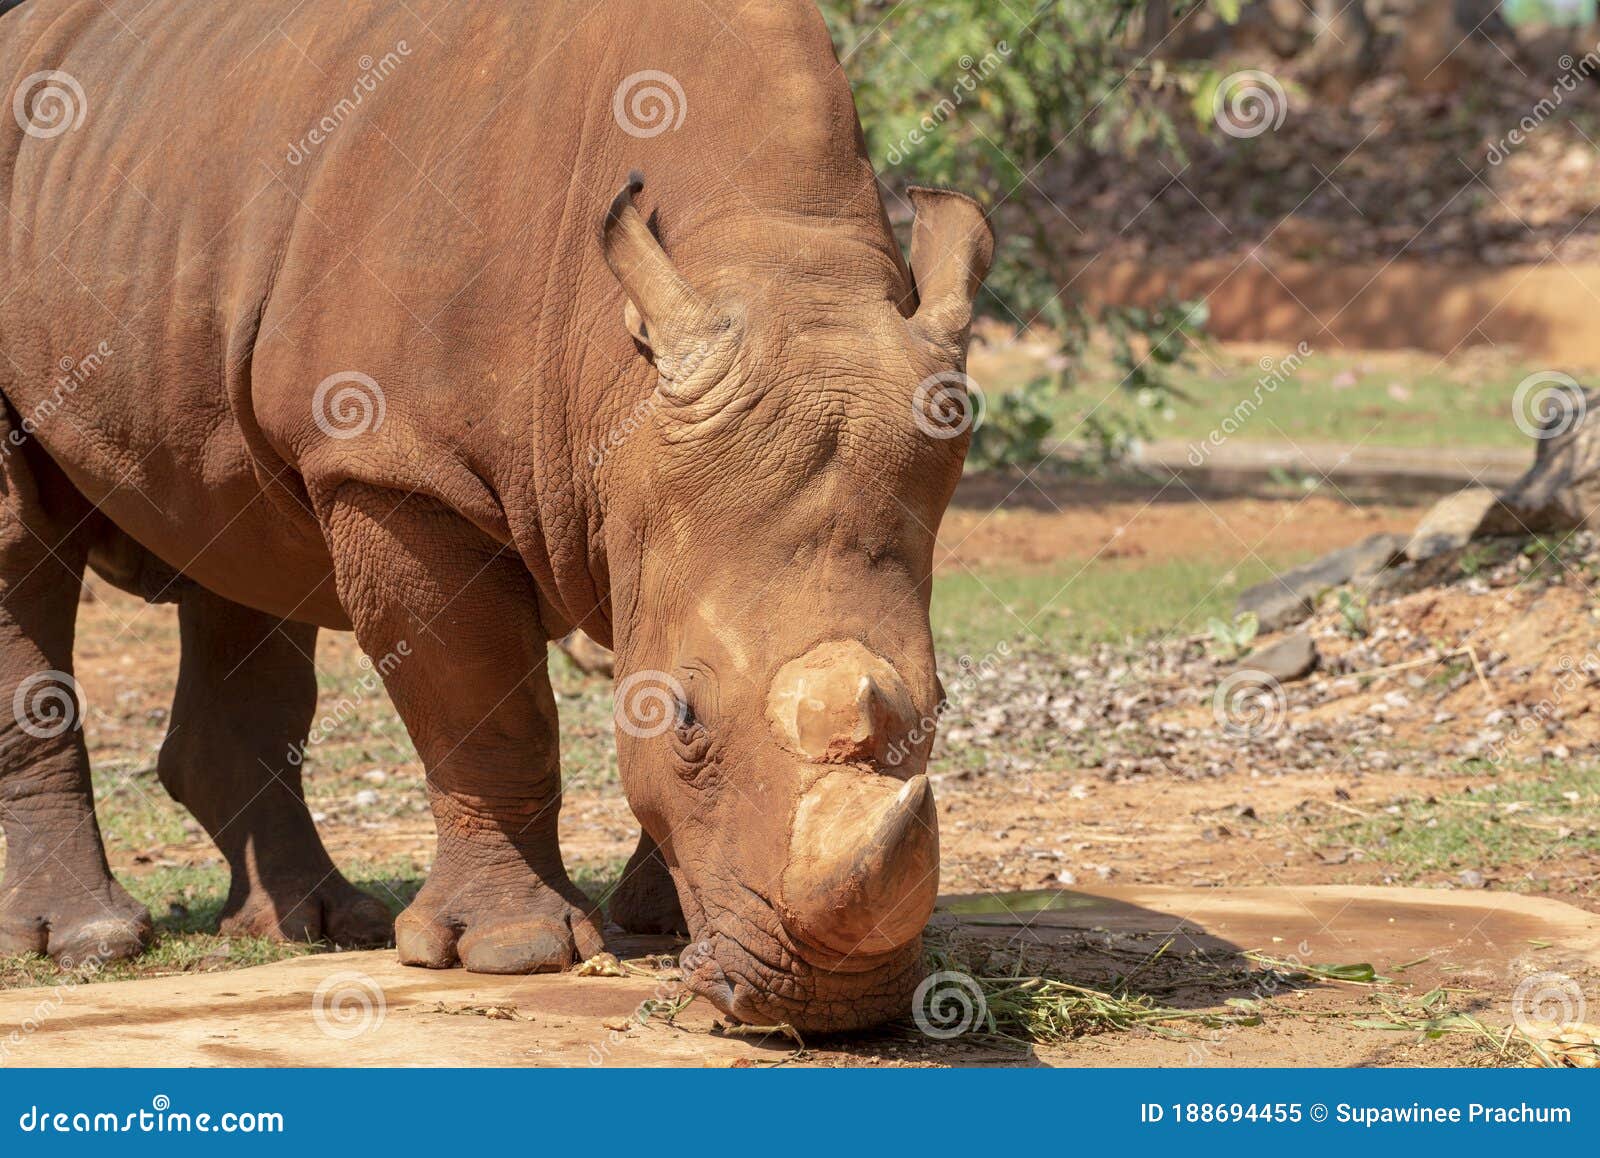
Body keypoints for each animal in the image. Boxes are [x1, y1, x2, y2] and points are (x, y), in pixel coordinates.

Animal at [0, 0, 991, 1032]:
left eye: (941, 704)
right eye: (683, 716)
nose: (838, 1003)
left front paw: (661, 924)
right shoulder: (397, 462)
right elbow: (482, 701)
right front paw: (515, 952)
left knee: (241, 540)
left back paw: (317, 926)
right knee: (26, 547)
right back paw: (87, 945)